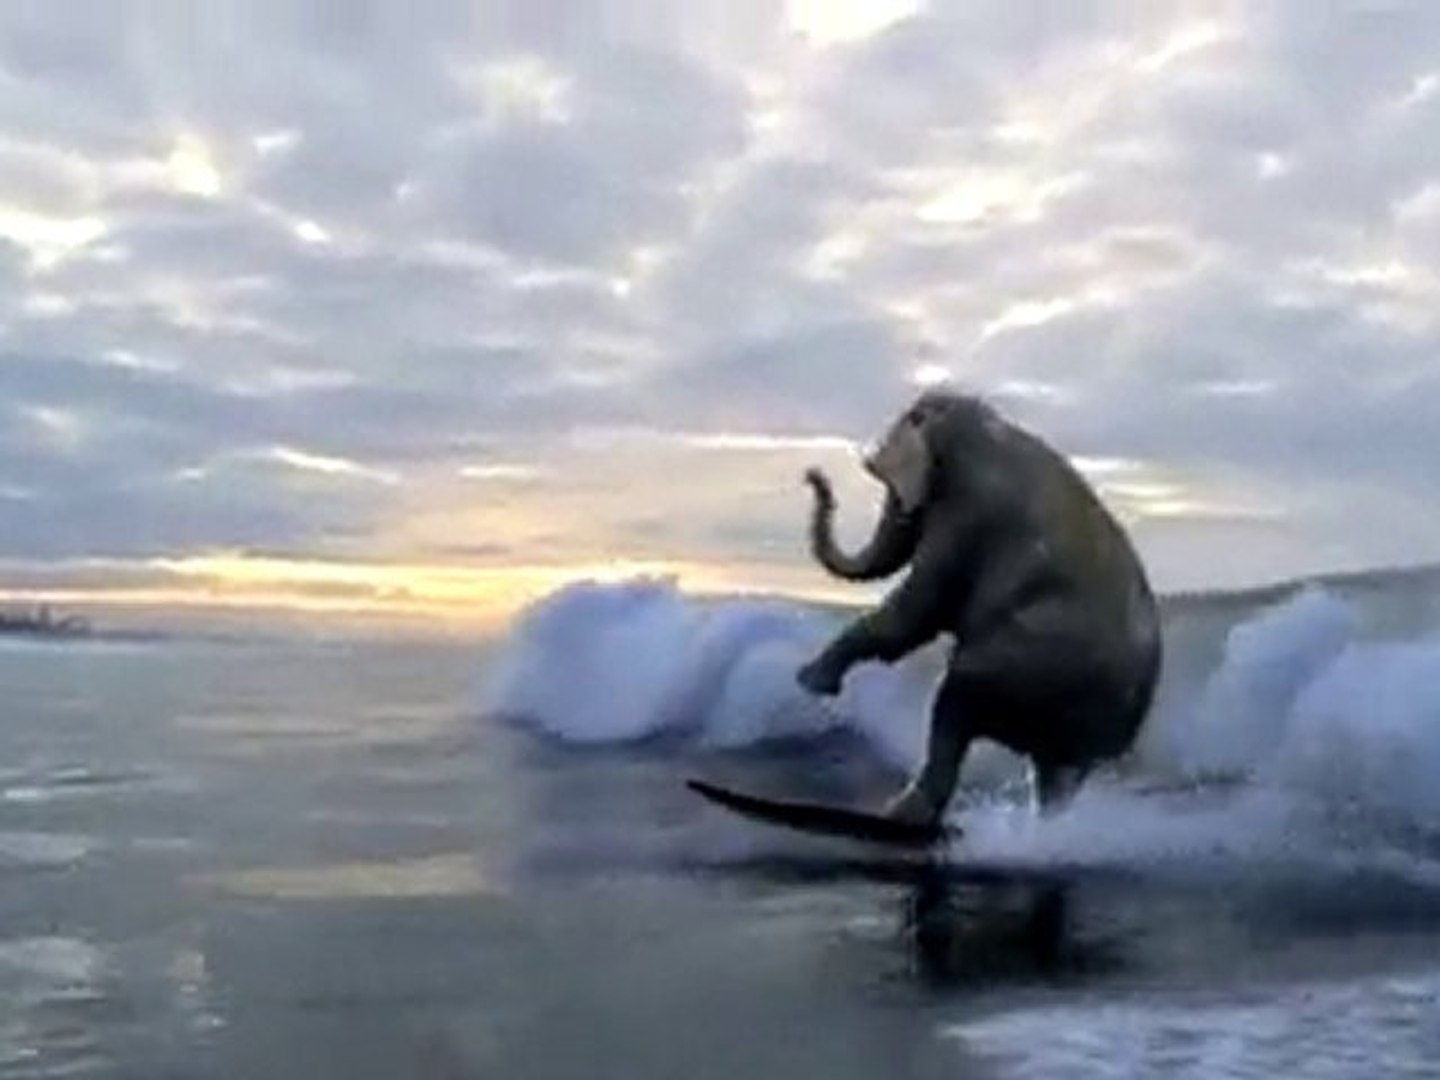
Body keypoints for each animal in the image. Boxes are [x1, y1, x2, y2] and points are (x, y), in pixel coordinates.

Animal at [796, 389, 1162, 826]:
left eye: (883, 480)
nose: (812, 475)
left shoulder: (963, 515)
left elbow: (918, 611)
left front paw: (808, 682)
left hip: (1028, 666)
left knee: (955, 705)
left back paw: (899, 815)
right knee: (1057, 776)